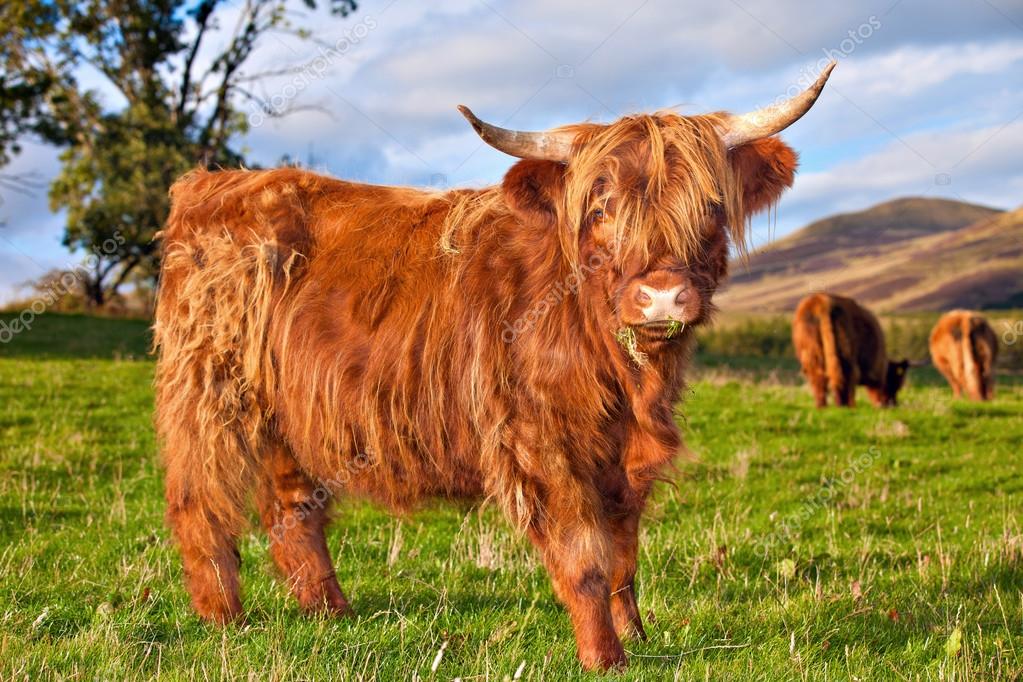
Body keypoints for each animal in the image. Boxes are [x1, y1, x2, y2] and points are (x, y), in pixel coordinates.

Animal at [153, 64, 835, 671]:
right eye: (600, 210)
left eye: (712, 207)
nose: (663, 297)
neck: (623, 376)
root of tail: (209, 186)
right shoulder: (540, 441)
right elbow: (585, 557)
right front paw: (604, 657)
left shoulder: (625, 457)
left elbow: (623, 553)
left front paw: (638, 639)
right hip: (209, 393)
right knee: (199, 501)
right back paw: (224, 617)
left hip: (283, 414)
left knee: (292, 506)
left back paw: (330, 612)